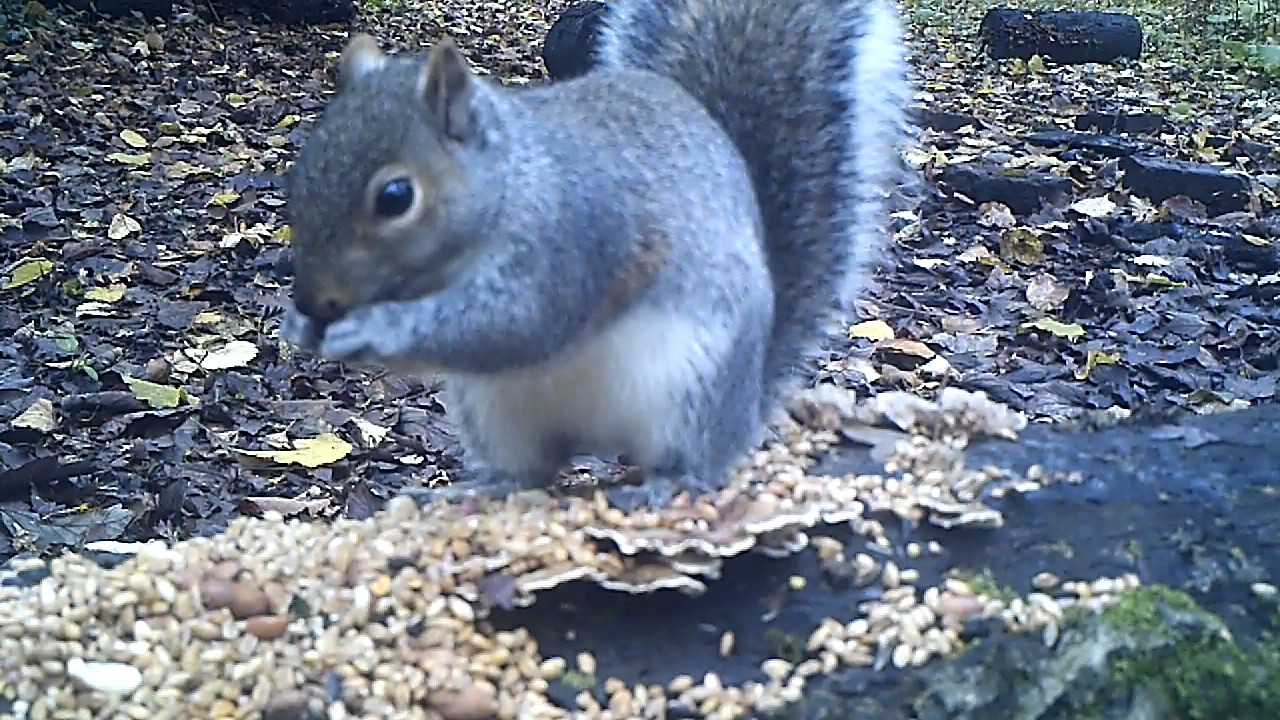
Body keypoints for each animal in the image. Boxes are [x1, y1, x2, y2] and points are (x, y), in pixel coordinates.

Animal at [279, 0, 913, 510]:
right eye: (301, 170)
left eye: (395, 197)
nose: (313, 299)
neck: (511, 183)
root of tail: (748, 404)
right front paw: (298, 327)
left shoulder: (574, 240)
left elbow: (516, 324)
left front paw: (375, 327)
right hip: (495, 412)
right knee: (533, 471)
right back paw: (483, 487)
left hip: (690, 392)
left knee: (690, 460)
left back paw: (670, 482)